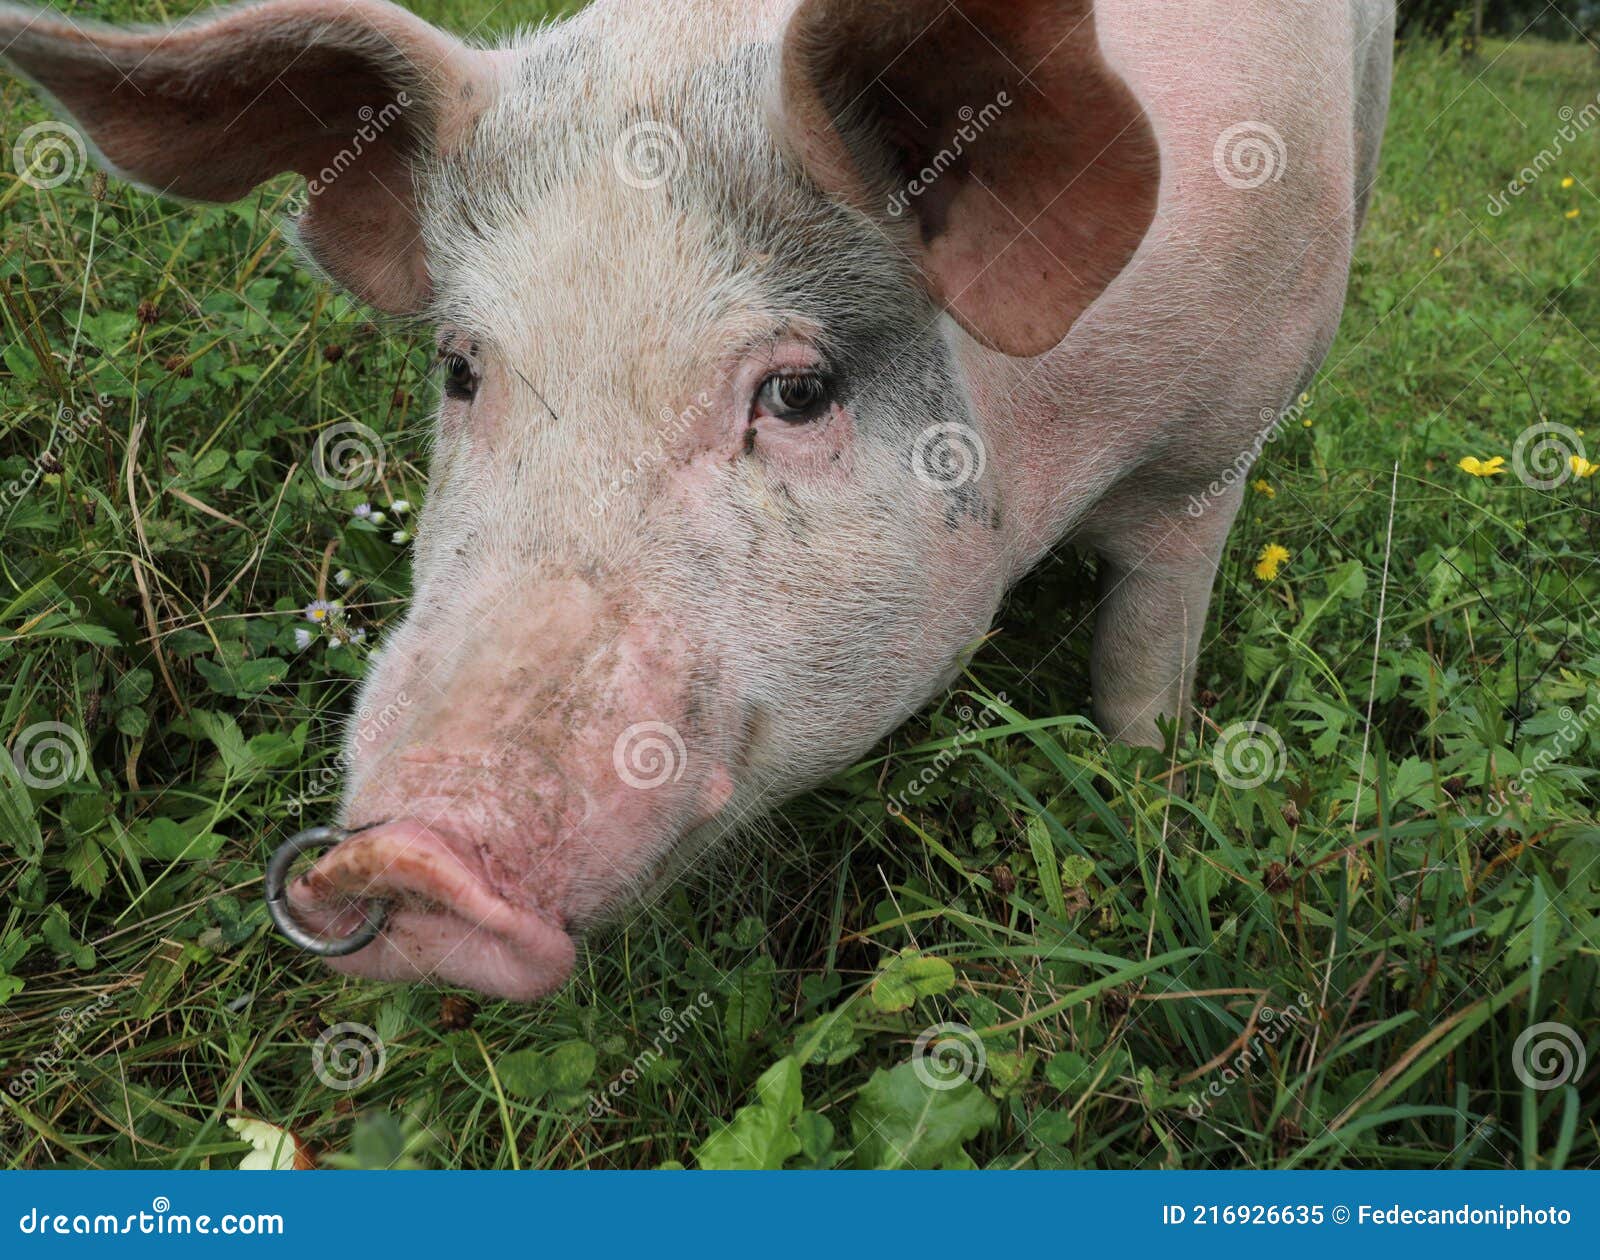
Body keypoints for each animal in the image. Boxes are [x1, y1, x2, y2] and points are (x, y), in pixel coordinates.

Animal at [1, 0, 1395, 1000]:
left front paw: (1150, 790)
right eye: (461, 367)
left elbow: (1145, 658)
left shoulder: (1207, 457)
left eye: (796, 392)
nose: (405, 855)